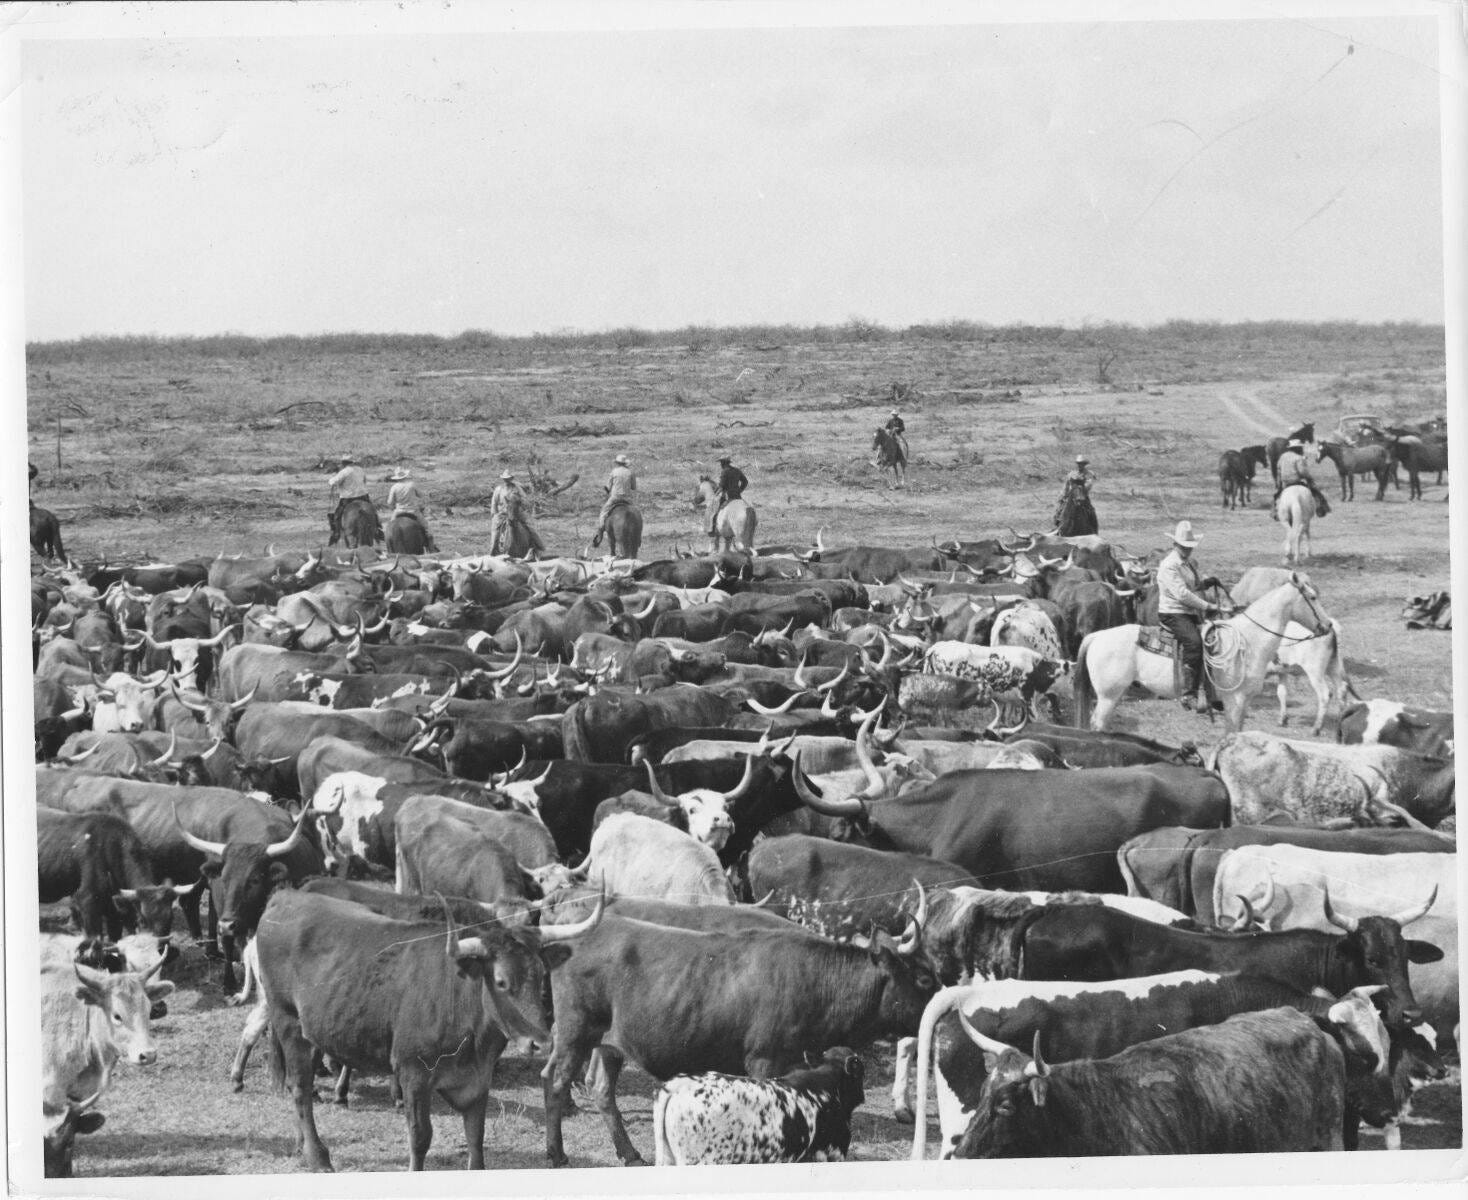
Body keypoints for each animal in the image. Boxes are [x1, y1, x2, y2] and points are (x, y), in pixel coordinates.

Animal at [254, 887, 603, 1171]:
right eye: (501, 981)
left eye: (542, 974)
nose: (540, 1042)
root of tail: (283, 897)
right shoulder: (414, 1075)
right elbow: (420, 1137)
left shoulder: (478, 1080)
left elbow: (476, 1139)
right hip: (287, 1020)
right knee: (300, 1088)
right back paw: (317, 1156)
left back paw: (301, 1146)